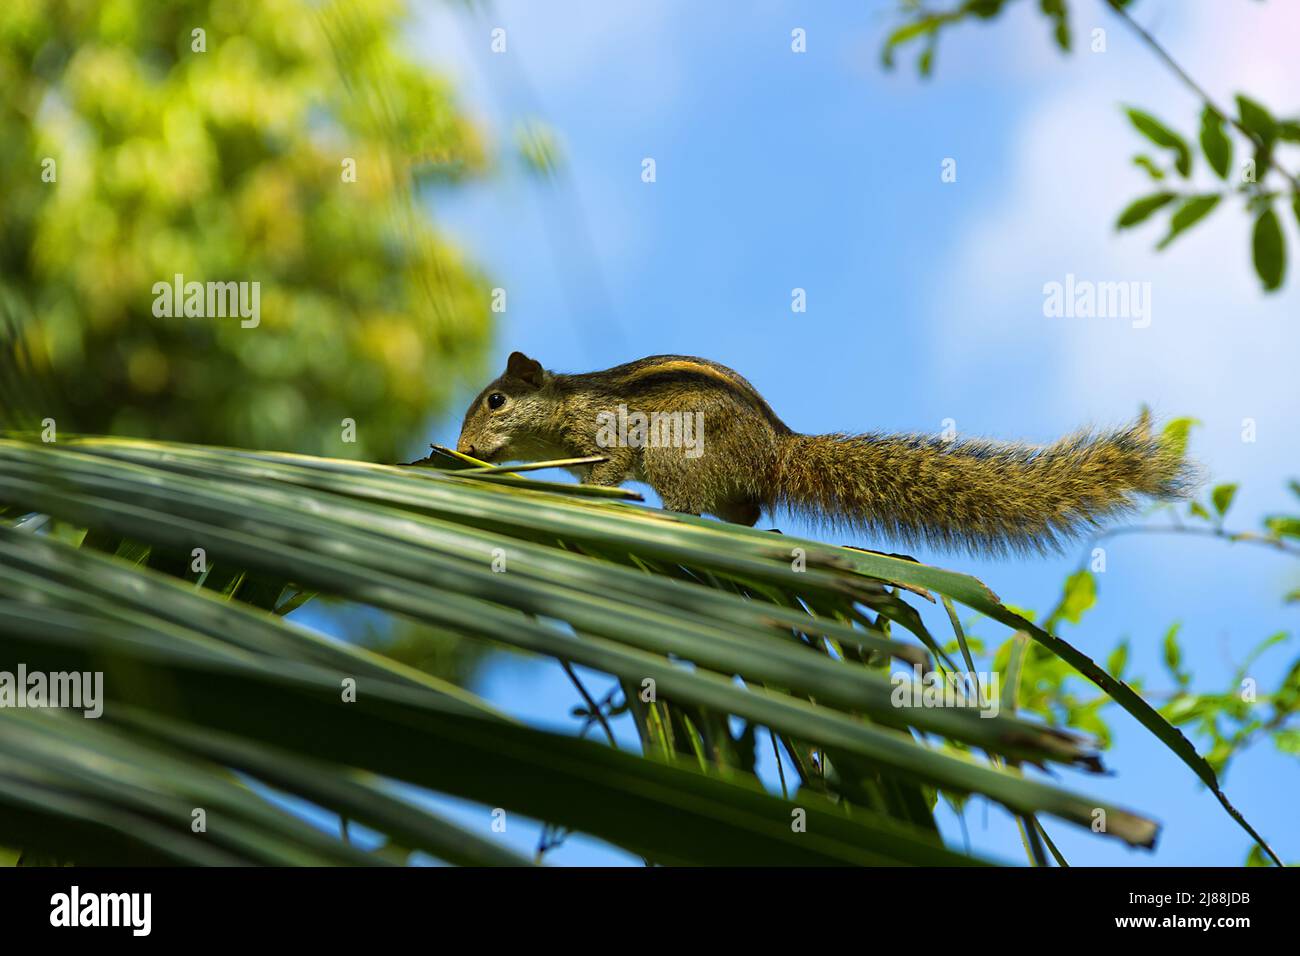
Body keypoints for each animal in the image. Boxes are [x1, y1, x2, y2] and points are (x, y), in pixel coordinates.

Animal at [456, 352, 1193, 554]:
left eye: (495, 400)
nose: (461, 449)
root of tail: (777, 451)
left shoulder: (609, 433)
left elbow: (608, 466)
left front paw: (594, 493)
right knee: (749, 514)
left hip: (682, 457)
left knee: (694, 501)